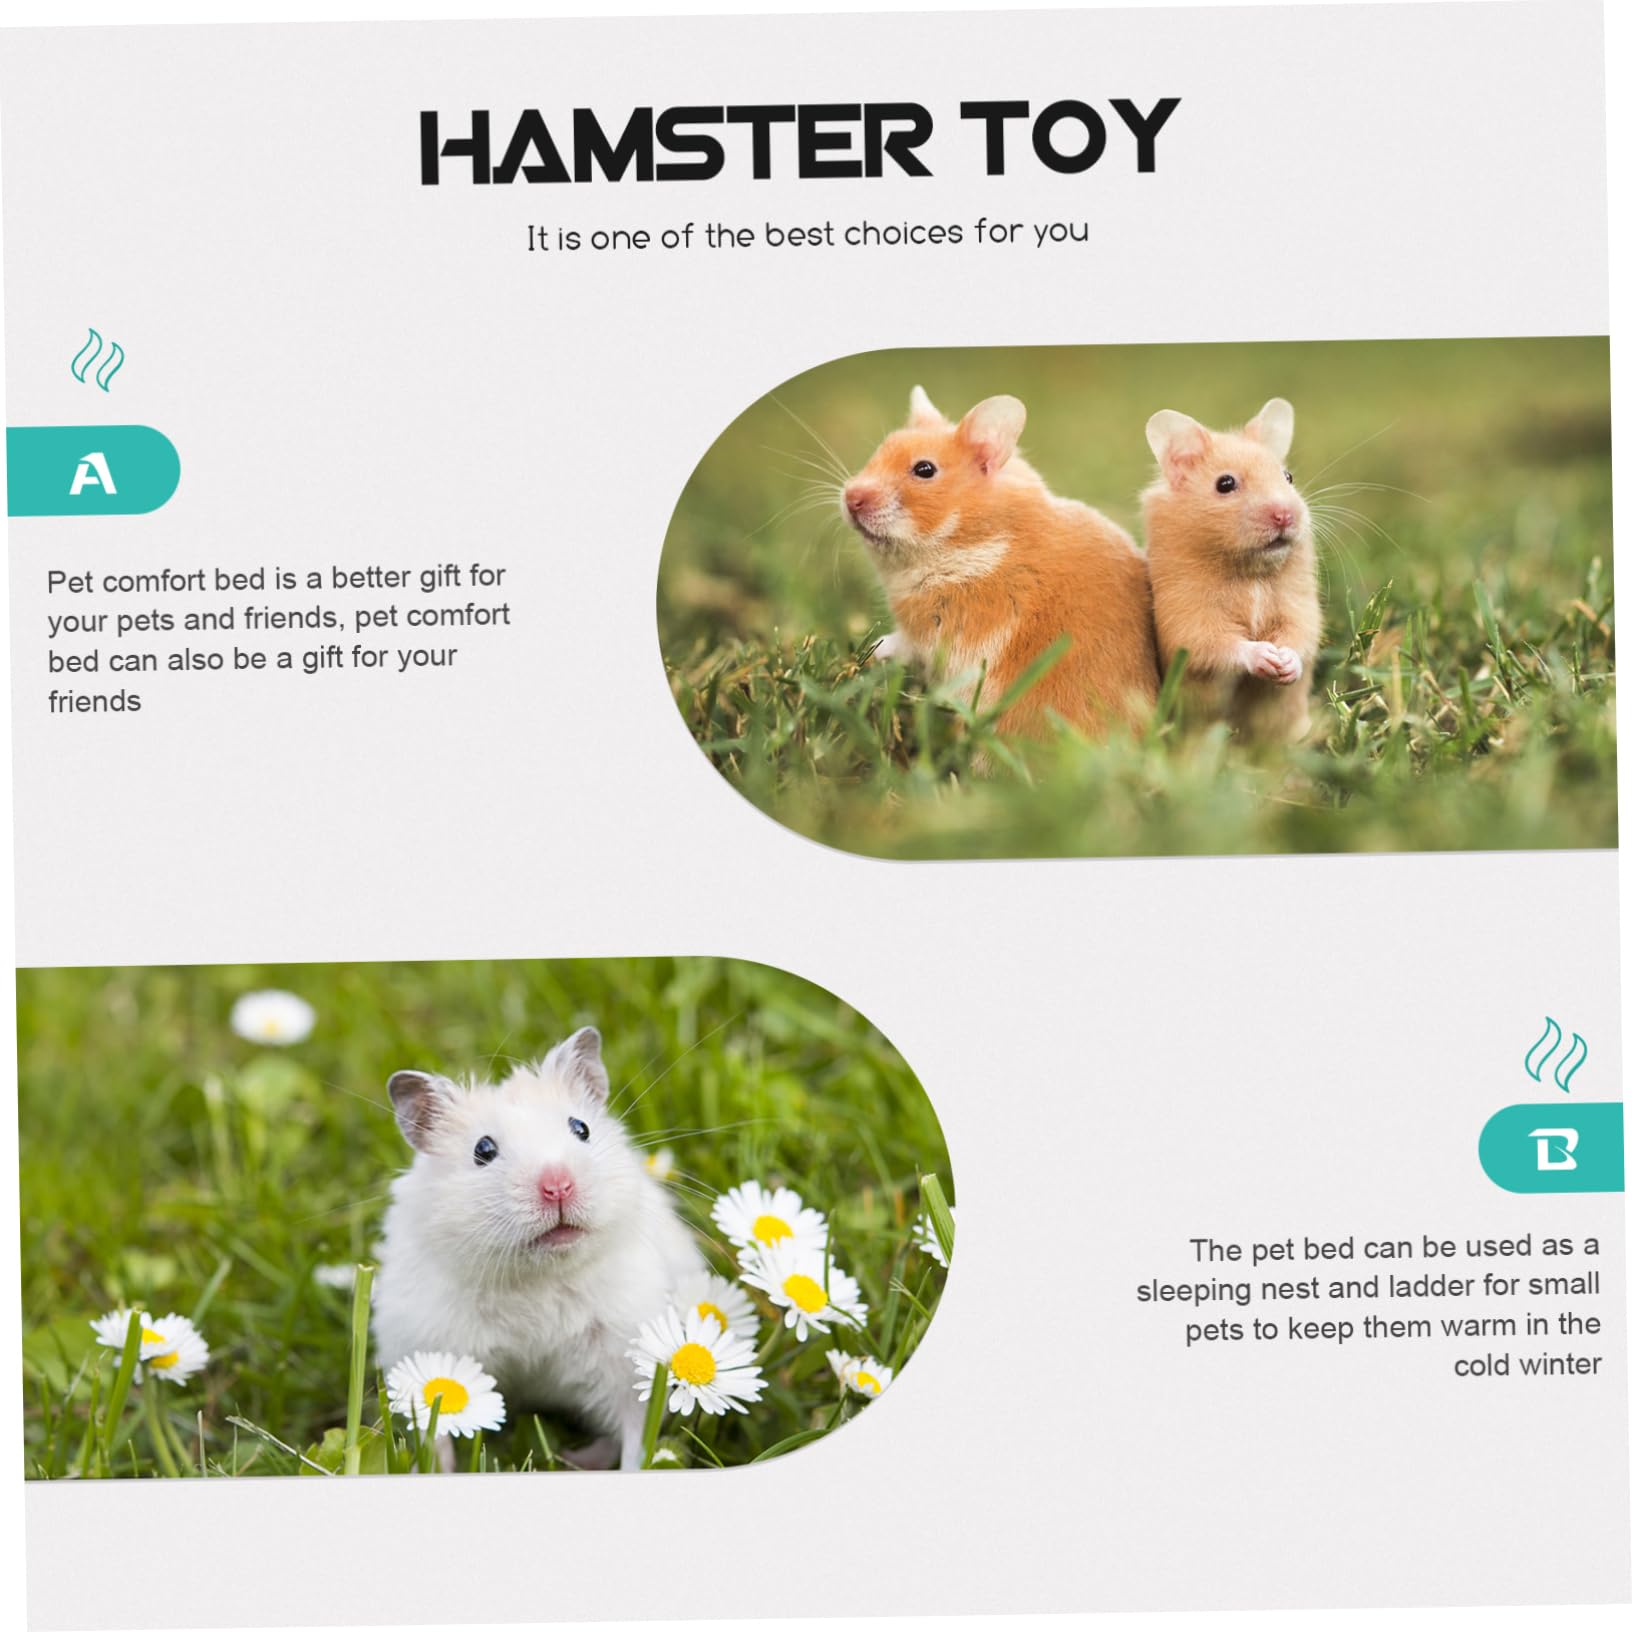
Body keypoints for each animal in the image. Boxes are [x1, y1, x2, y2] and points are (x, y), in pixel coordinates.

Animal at [373, 1026, 702, 1469]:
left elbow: (637, 1433)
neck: (536, 1277)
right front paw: (435, 1472)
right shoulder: (426, 1348)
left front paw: (635, 1468)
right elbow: (434, 1433)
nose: (558, 1186)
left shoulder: (627, 1356)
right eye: (483, 1150)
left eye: (581, 1128)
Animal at [841, 387, 1160, 740]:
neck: (974, 542)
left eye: (925, 469)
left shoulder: (937, 633)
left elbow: (903, 644)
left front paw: (873, 650)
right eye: (880, 451)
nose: (851, 498)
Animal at [1141, 398, 1320, 744]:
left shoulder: (1298, 604)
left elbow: (1301, 635)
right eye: (1225, 484)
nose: (1285, 515)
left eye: (1288, 476)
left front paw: (1285, 664)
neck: (1250, 572)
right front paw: (1266, 657)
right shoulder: (1189, 618)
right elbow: (1219, 644)